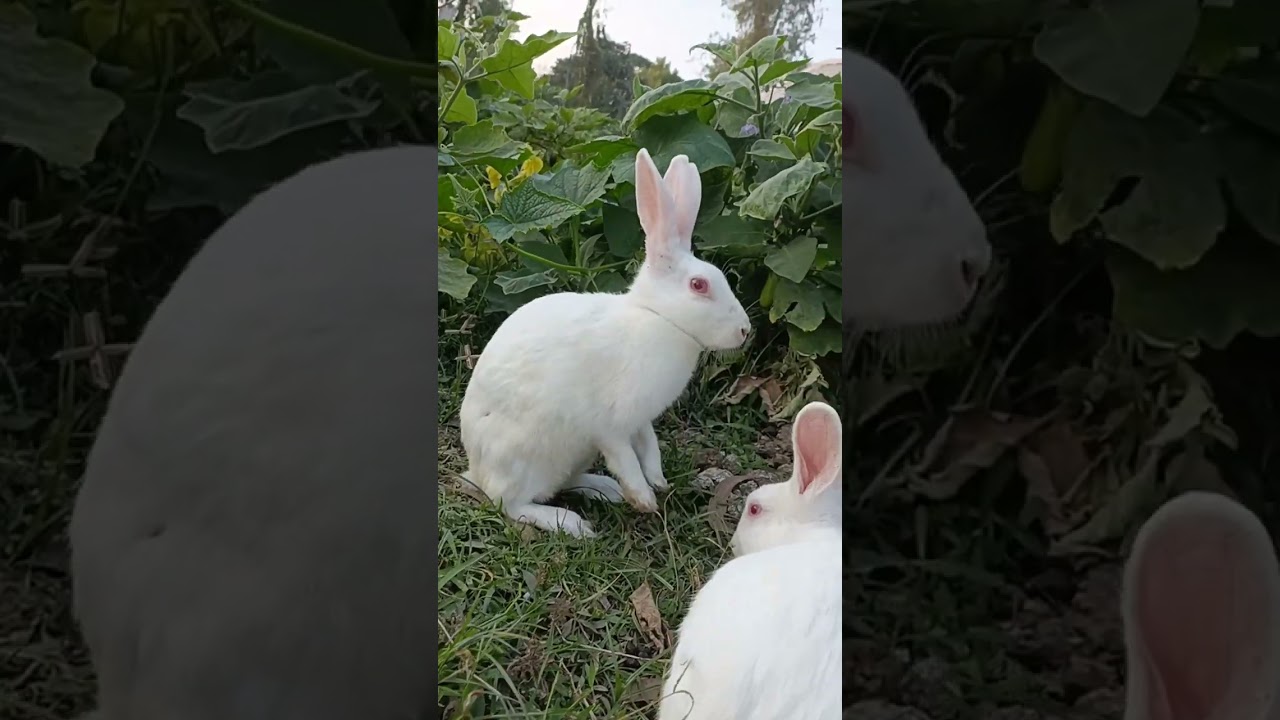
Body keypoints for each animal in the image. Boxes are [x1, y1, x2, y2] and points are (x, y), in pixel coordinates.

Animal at [458, 148, 751, 539]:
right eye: (699, 286)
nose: (744, 331)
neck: (659, 318)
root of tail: (476, 471)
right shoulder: (610, 427)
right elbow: (625, 458)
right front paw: (645, 499)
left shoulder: (639, 421)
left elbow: (649, 446)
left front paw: (658, 481)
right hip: (530, 457)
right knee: (512, 504)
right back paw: (573, 524)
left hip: (573, 455)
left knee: (565, 483)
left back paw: (606, 490)